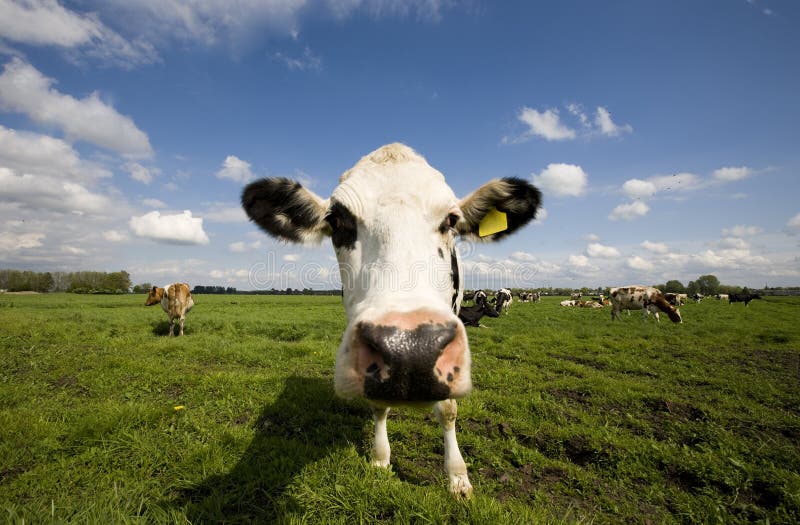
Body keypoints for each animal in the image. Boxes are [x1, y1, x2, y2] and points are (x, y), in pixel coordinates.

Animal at [241, 143, 541, 497]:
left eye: (452, 220)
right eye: (337, 220)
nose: (410, 351)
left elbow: (448, 410)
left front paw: (457, 477)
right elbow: (378, 406)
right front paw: (380, 458)